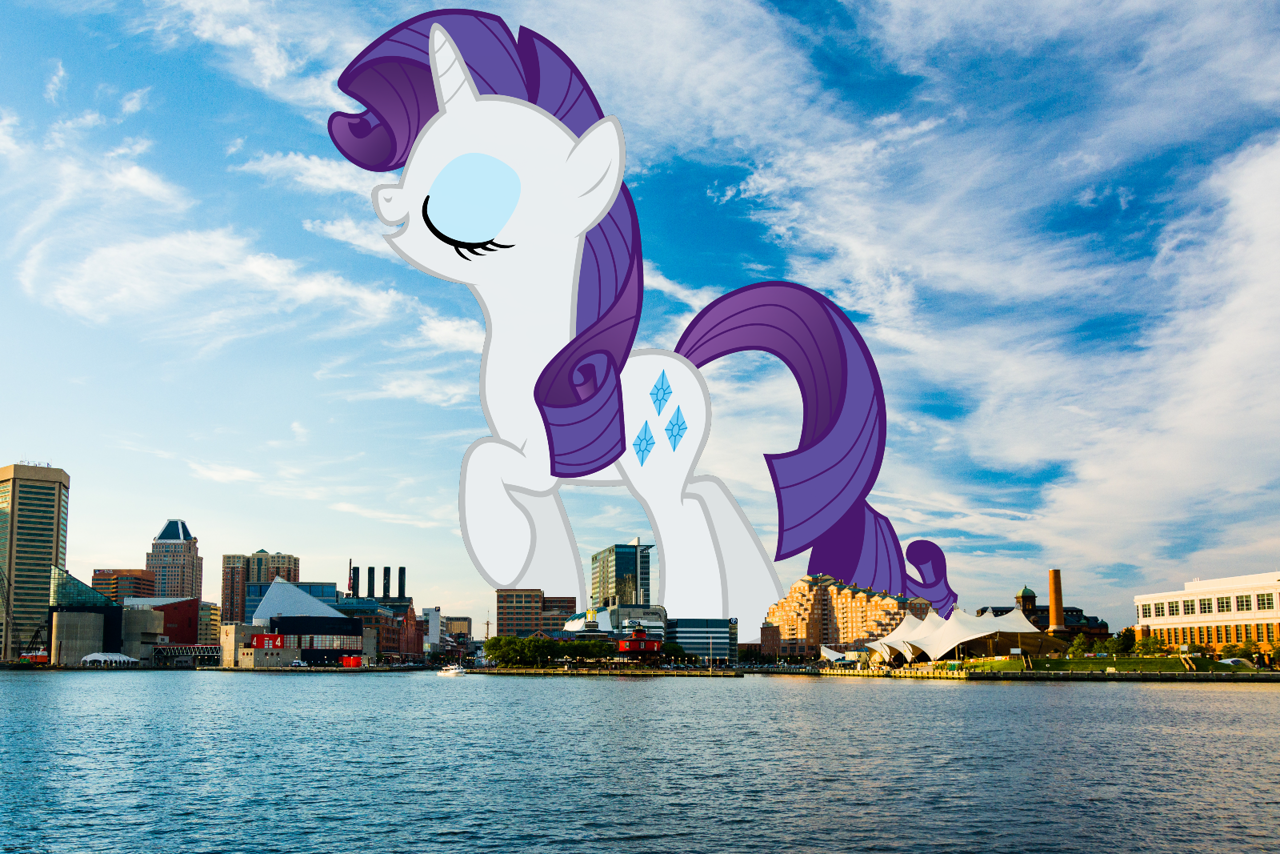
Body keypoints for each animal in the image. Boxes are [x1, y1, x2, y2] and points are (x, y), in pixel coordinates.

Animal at [327, 10, 957, 628]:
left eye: (476, 198)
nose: (390, 205)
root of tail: (690, 370)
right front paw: (531, 567)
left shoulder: (537, 458)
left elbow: (485, 462)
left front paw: (502, 548)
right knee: (710, 498)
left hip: (658, 469)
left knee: (687, 518)